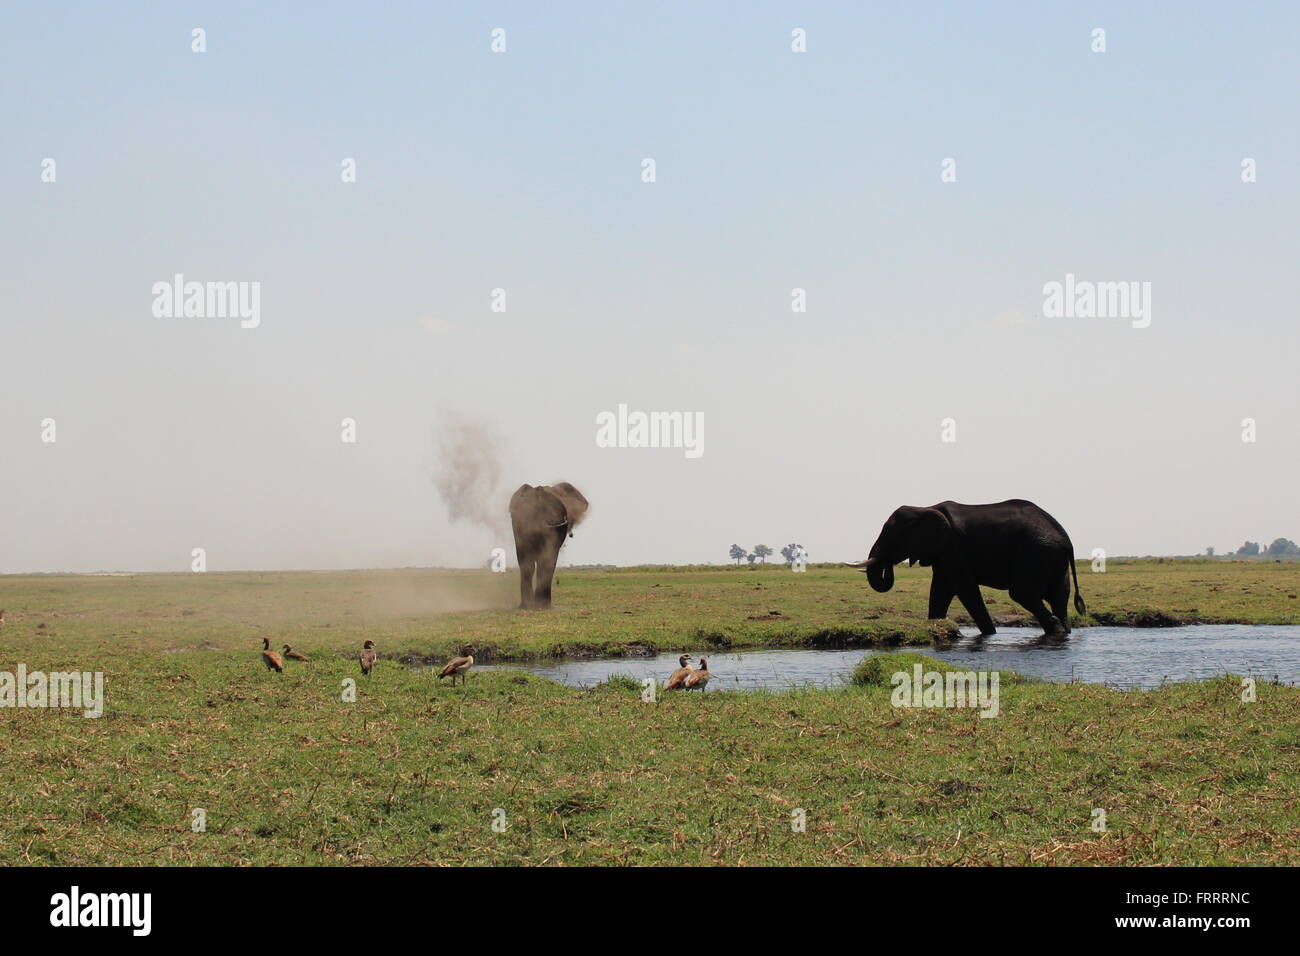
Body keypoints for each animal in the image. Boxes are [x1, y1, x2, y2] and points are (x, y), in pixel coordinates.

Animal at [846, 499, 1085, 636]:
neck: (926, 508)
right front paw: (939, 628)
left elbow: (964, 589)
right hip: (1051, 558)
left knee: (1022, 593)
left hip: (1035, 553)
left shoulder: (955, 547)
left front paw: (990, 635)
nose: (888, 564)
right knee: (1058, 597)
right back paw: (1063, 631)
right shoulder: (945, 553)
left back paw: (1055, 629)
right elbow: (940, 591)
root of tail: (1067, 540)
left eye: (893, 537)